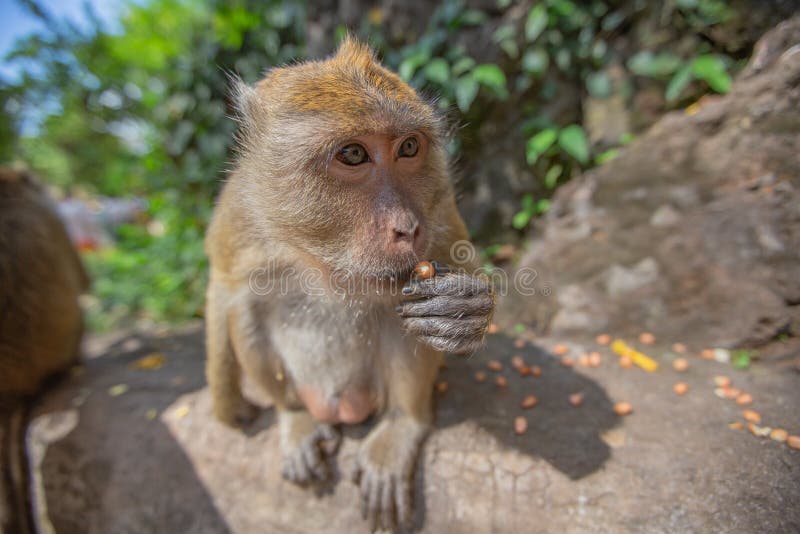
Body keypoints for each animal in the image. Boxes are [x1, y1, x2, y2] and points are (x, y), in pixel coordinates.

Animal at [205, 37, 493, 531]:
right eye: (353, 154)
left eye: (409, 147)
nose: (407, 228)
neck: (324, 259)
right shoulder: (238, 215)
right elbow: (227, 293)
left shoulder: (437, 207)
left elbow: (455, 262)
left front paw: (465, 310)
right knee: (245, 310)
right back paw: (296, 418)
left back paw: (402, 425)